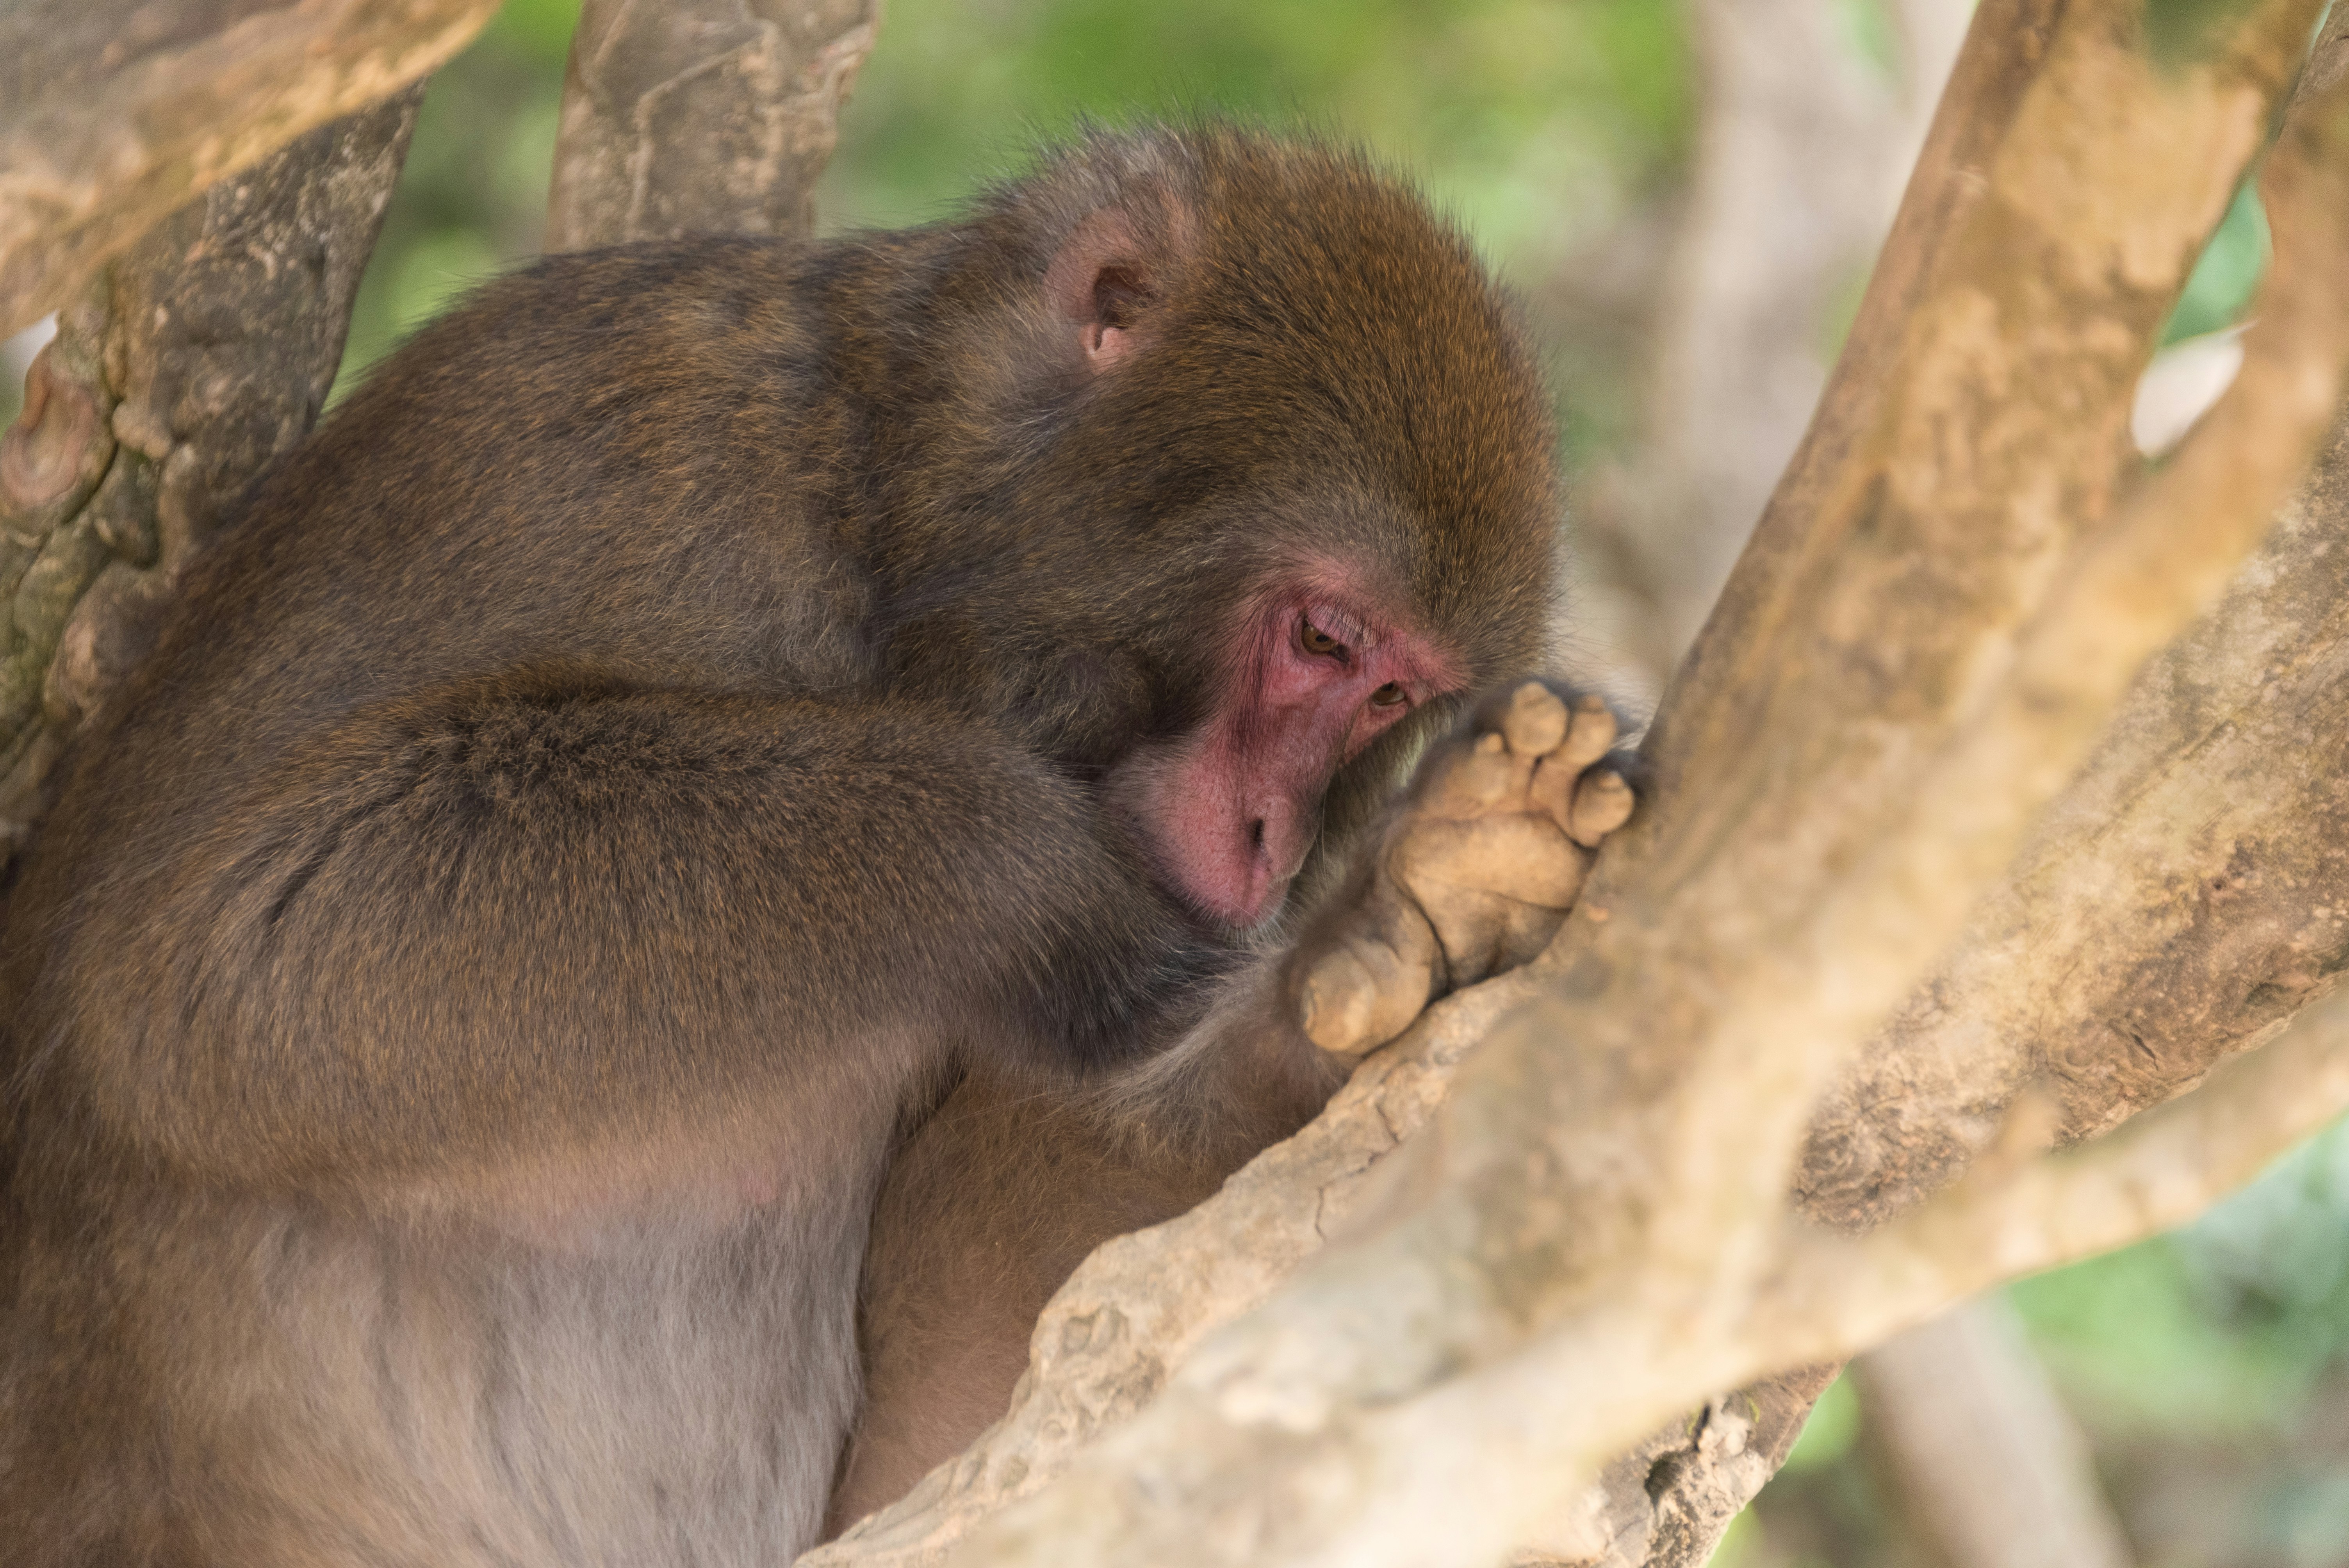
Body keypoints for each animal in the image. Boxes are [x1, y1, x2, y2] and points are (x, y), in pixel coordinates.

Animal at [0, 125, 1630, 1566]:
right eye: (1322, 640)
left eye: (1389, 701)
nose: (1272, 837)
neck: (881, 538)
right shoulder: (591, 459)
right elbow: (209, 972)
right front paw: (1031, 869)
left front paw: (1388, 939)